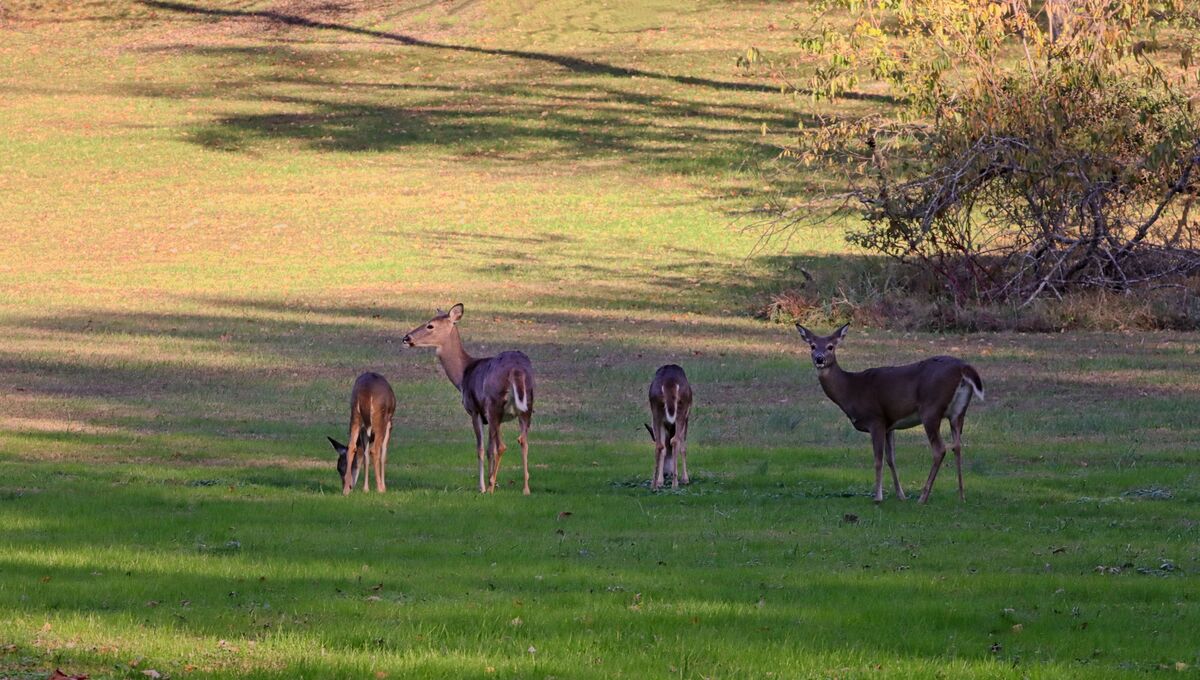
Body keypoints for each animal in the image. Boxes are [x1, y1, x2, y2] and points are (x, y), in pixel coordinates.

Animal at [402, 303, 535, 495]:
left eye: (430, 325)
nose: (406, 338)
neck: (463, 374)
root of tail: (516, 370)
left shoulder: (474, 410)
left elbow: (481, 448)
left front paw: (483, 486)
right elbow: (490, 449)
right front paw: (490, 482)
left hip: (495, 404)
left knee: (503, 445)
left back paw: (491, 487)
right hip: (527, 406)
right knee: (523, 441)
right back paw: (525, 489)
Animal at [795, 323, 984, 504]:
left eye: (830, 346)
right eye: (812, 346)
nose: (819, 358)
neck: (851, 390)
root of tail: (963, 368)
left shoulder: (876, 419)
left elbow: (878, 460)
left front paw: (878, 497)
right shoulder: (889, 425)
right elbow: (891, 459)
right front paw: (901, 495)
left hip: (931, 409)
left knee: (940, 449)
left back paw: (923, 498)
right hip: (958, 412)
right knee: (957, 446)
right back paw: (961, 497)